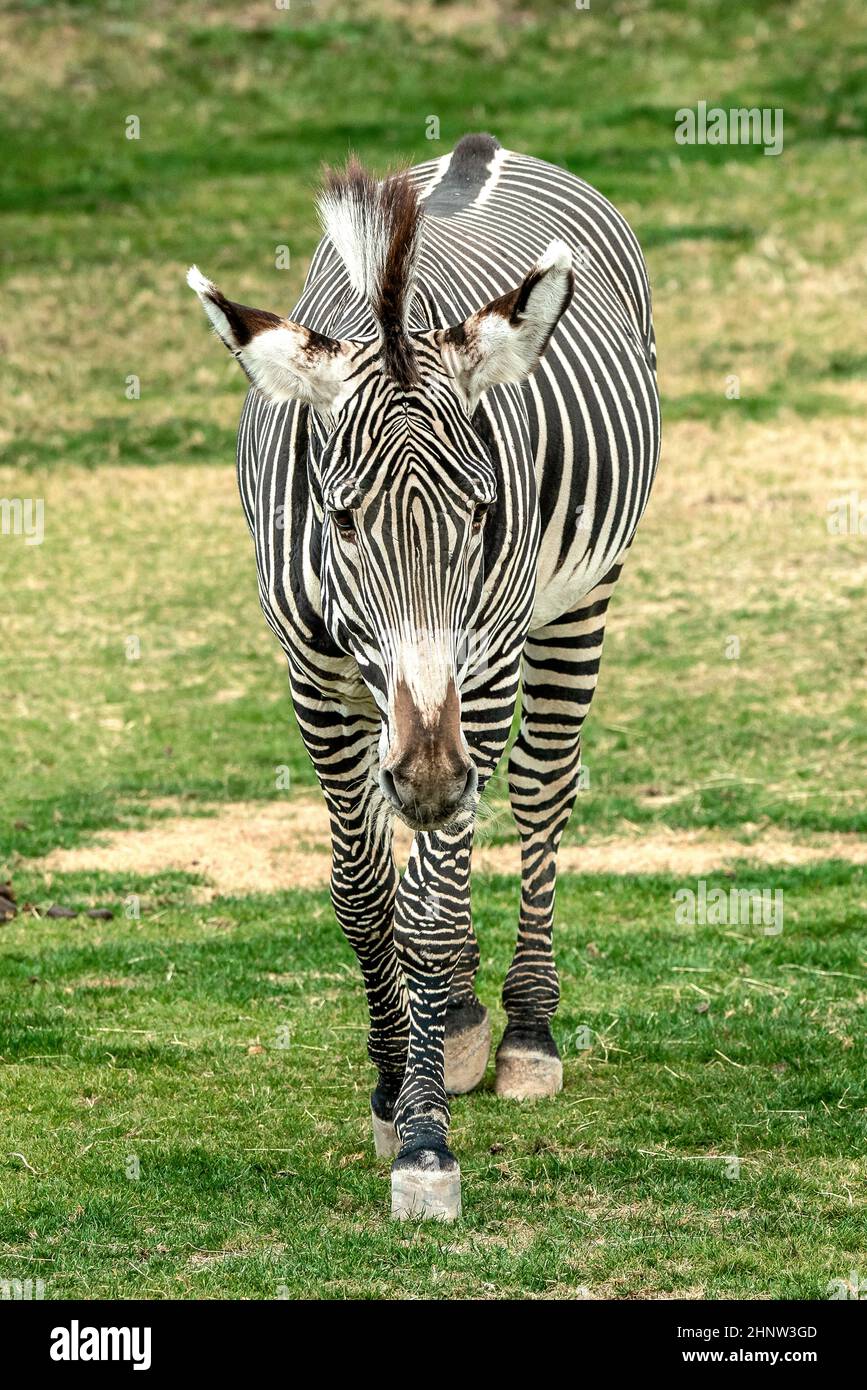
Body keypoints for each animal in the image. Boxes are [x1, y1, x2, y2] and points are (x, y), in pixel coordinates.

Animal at [188, 132, 660, 1221]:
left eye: (481, 515)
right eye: (341, 517)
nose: (433, 777)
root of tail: (484, 149)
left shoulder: (477, 674)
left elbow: (428, 912)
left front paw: (423, 1139)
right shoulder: (314, 680)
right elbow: (364, 894)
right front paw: (391, 1077)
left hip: (581, 597)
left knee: (538, 789)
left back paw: (523, 1028)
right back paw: (455, 1024)